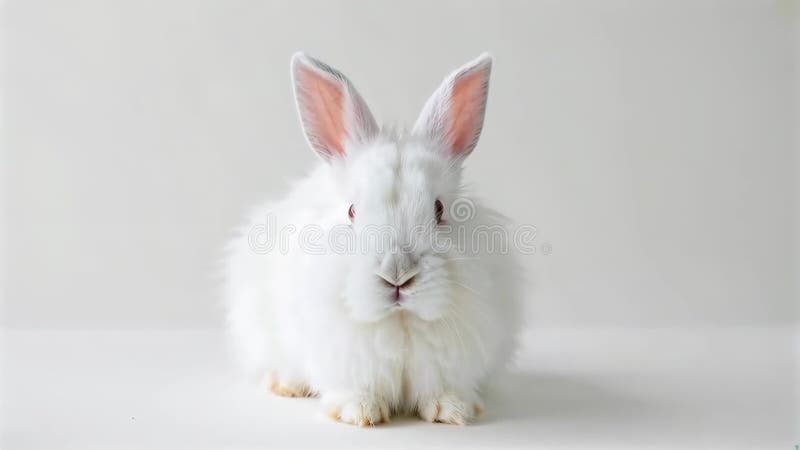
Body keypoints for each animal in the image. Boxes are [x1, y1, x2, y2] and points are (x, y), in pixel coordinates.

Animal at [223, 52, 523, 426]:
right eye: (352, 210)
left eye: (439, 209)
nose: (397, 274)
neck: (399, 322)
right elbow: (354, 389)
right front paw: (360, 412)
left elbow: (443, 389)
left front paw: (452, 411)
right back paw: (286, 385)